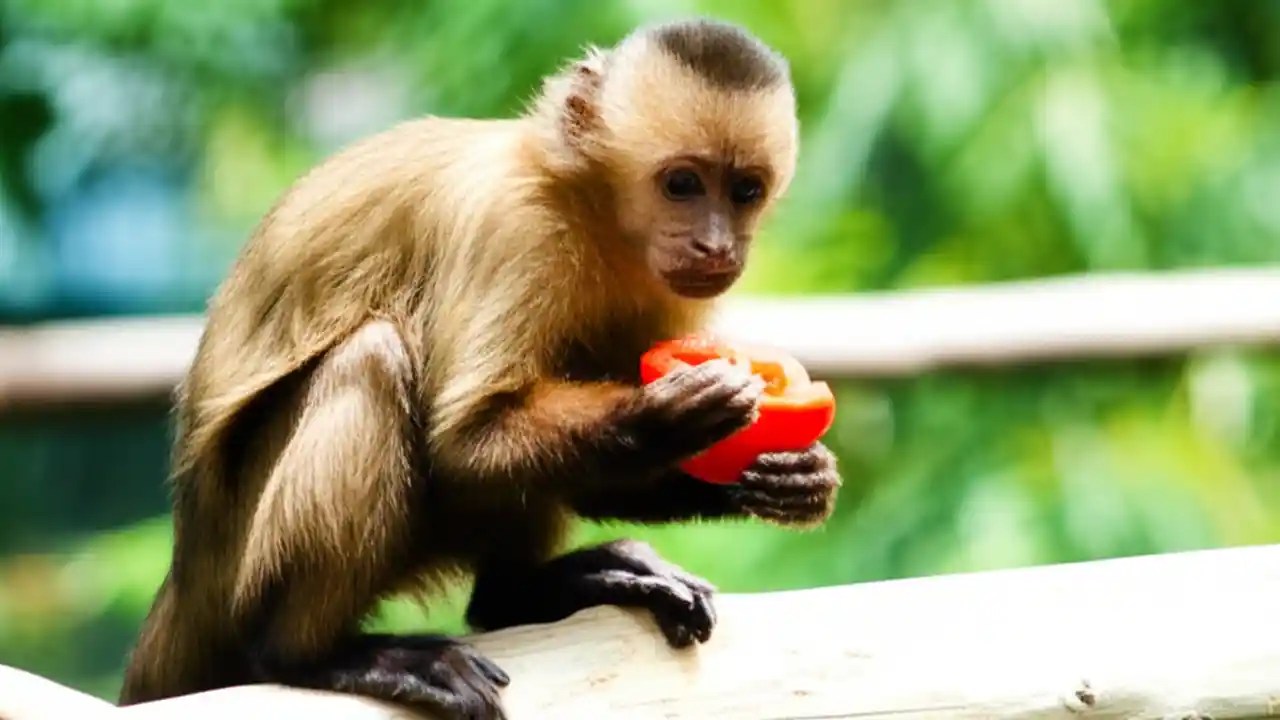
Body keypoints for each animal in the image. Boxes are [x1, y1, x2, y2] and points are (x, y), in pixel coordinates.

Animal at [118, 17, 840, 720]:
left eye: (745, 191)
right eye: (682, 184)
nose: (716, 244)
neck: (590, 210)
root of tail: (189, 567)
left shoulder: (665, 287)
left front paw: (790, 476)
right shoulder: (516, 228)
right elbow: (464, 443)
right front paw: (670, 415)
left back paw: (525, 594)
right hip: (243, 562)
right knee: (375, 359)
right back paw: (313, 655)